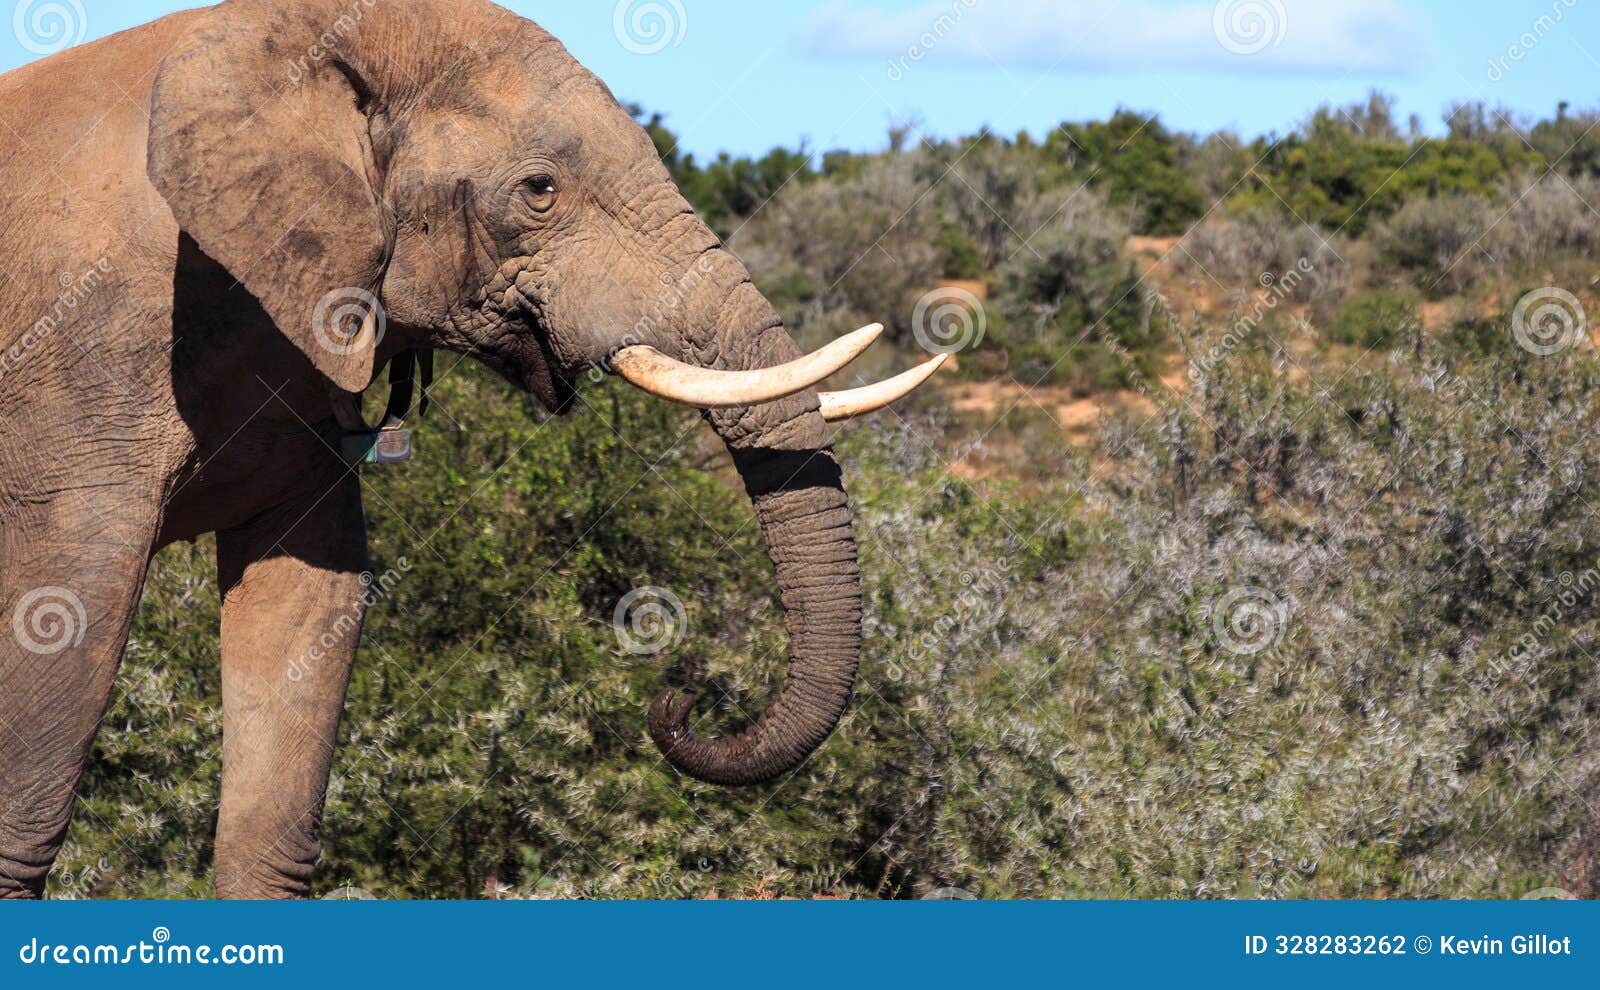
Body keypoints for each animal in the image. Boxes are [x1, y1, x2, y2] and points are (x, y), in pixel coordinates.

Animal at [0, 0, 940, 898]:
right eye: (539, 189)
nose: (675, 699)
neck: (300, 38)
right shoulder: (80, 367)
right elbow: (63, 625)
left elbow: (310, 609)